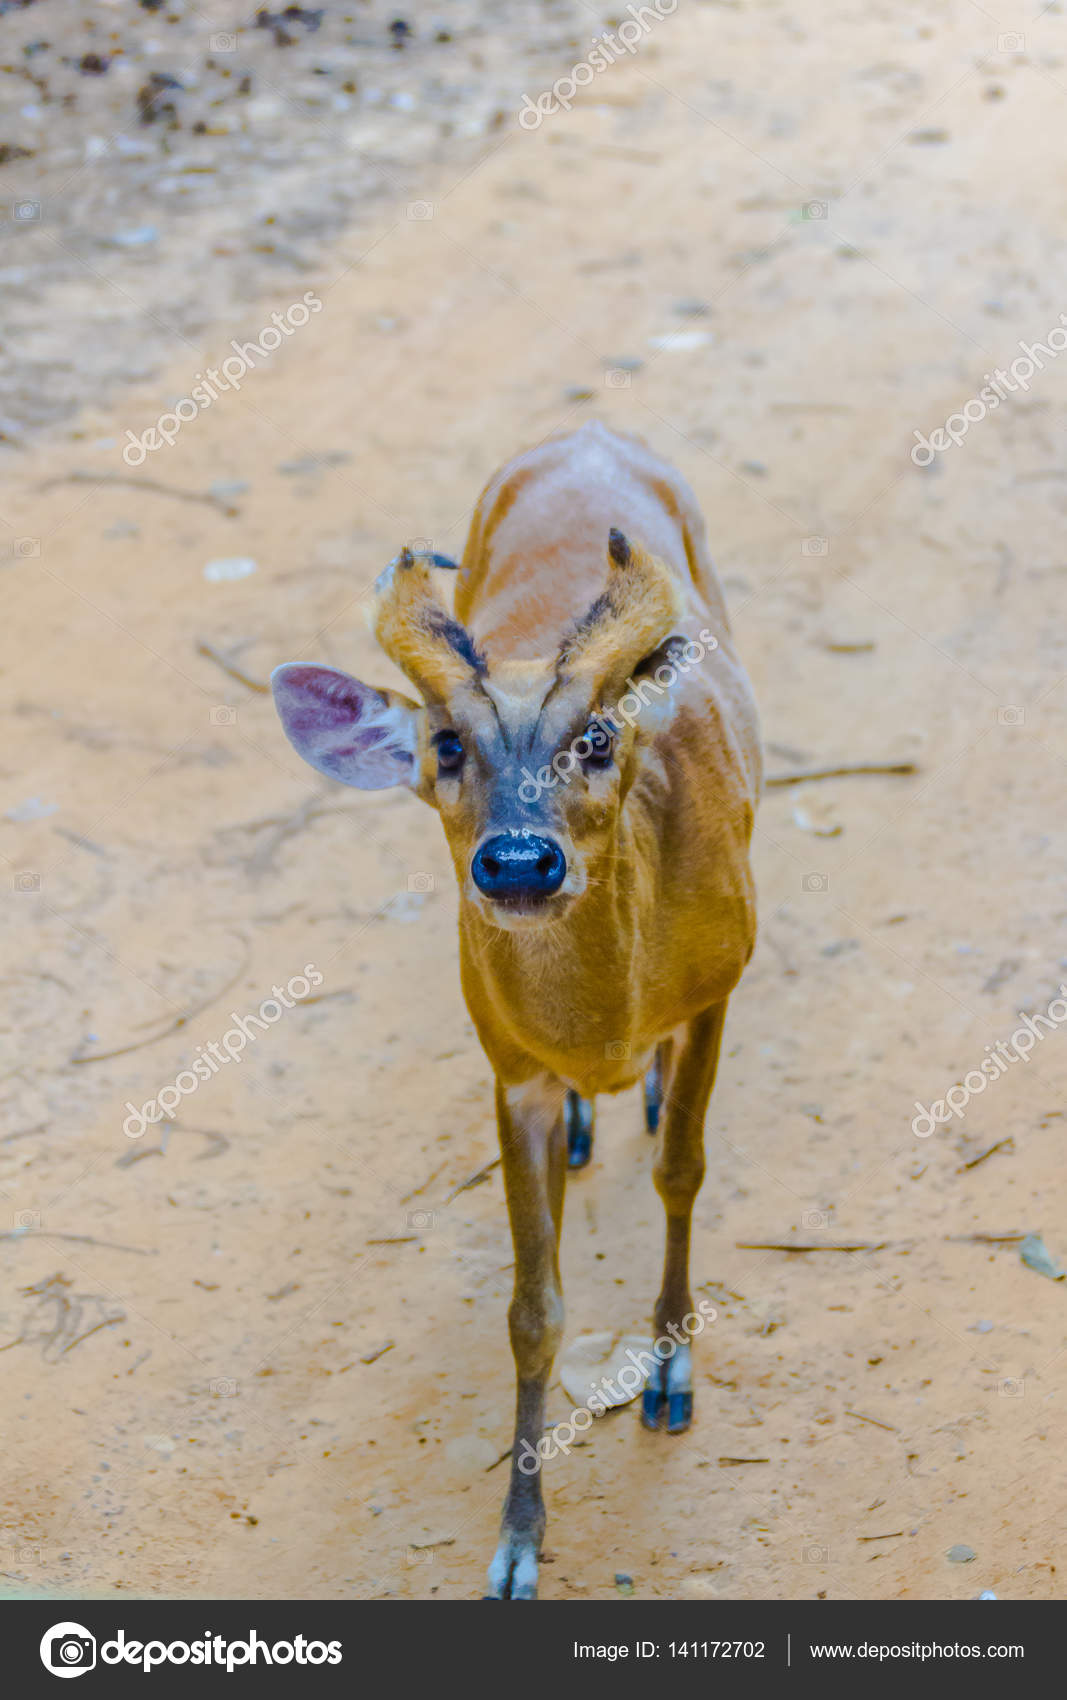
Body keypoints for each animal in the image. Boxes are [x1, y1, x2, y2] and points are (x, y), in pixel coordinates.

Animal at [271, 420, 760, 1599]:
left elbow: (682, 1171)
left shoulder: (720, 981)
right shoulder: (507, 1065)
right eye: (447, 745)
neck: (607, 1018)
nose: (519, 863)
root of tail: (588, 432)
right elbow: (532, 1312)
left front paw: (672, 1372)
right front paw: (516, 1546)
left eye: (596, 739)